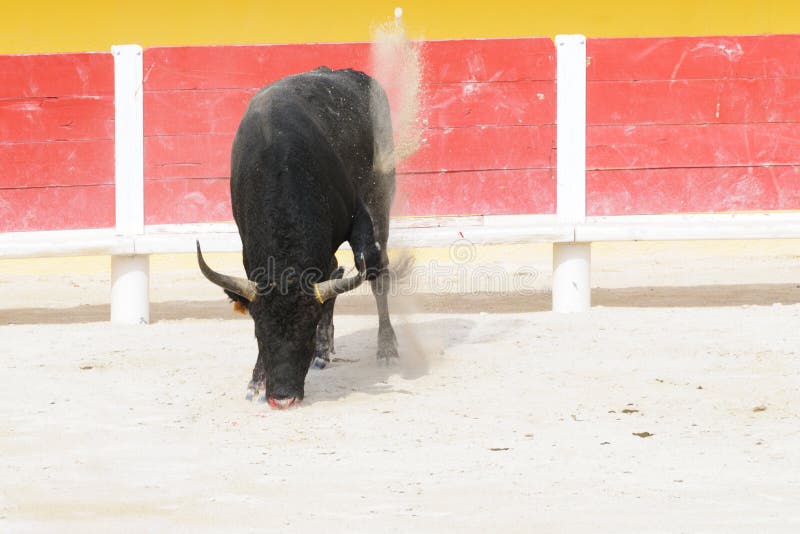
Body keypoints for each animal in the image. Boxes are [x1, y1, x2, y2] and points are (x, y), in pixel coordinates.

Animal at [196, 66, 399, 409]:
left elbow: (368, 267)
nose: (282, 398)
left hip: (381, 192)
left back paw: (385, 348)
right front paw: (256, 380)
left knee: (377, 268)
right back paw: (325, 351)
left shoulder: (358, 215)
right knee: (332, 269)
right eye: (258, 333)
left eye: (305, 332)